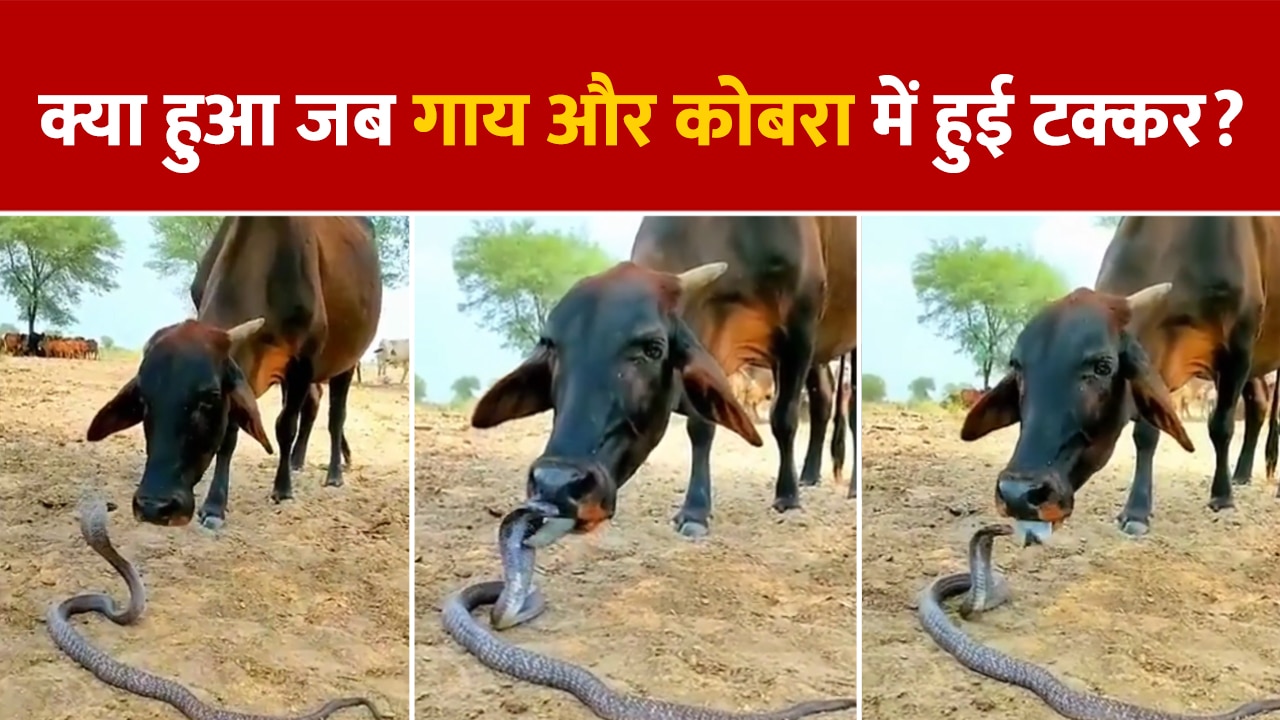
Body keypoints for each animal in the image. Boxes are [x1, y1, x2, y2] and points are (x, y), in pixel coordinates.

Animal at [86, 217, 382, 530]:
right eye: (143, 399)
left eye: (210, 397)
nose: (154, 506)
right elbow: (229, 436)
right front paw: (215, 504)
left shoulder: (303, 362)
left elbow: (285, 426)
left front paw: (283, 489)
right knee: (312, 406)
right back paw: (297, 460)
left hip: (346, 363)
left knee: (335, 417)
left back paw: (334, 474)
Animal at [470, 216, 859, 541]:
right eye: (550, 345)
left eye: (653, 349)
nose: (556, 485)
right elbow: (701, 428)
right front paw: (696, 510)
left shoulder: (799, 331)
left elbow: (784, 418)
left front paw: (787, 496)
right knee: (824, 399)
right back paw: (810, 473)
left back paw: (849, 486)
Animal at [961, 216, 1280, 542]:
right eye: (1017, 365)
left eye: (1103, 366)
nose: (1018, 493)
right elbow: (1146, 435)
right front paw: (1137, 510)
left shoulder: (1239, 349)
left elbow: (1221, 426)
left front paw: (1222, 496)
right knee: (1258, 404)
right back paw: (1241, 473)